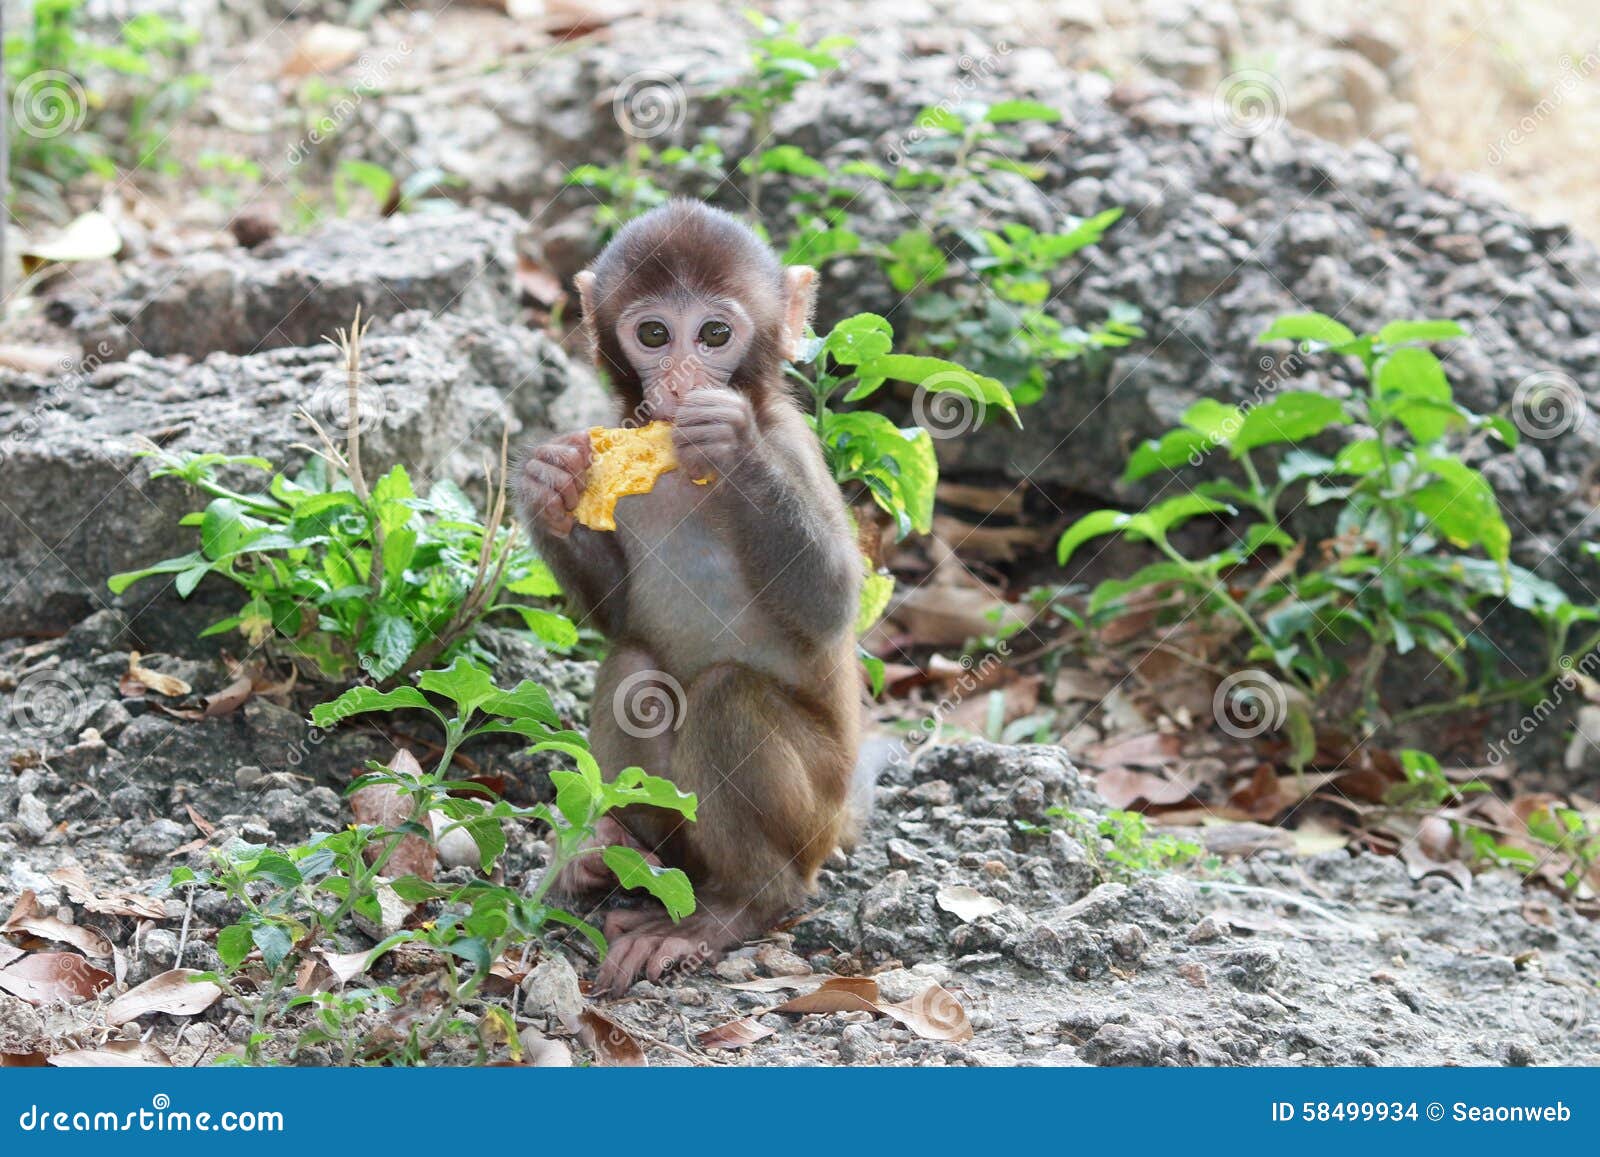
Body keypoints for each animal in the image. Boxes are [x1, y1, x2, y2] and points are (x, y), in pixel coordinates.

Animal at [519, 200, 864, 996]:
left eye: (713, 334)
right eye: (654, 334)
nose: (679, 380)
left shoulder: (794, 445)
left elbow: (834, 600)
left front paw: (732, 446)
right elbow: (615, 617)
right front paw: (551, 487)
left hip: (815, 818)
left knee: (725, 696)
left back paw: (735, 908)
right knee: (633, 670)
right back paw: (617, 854)